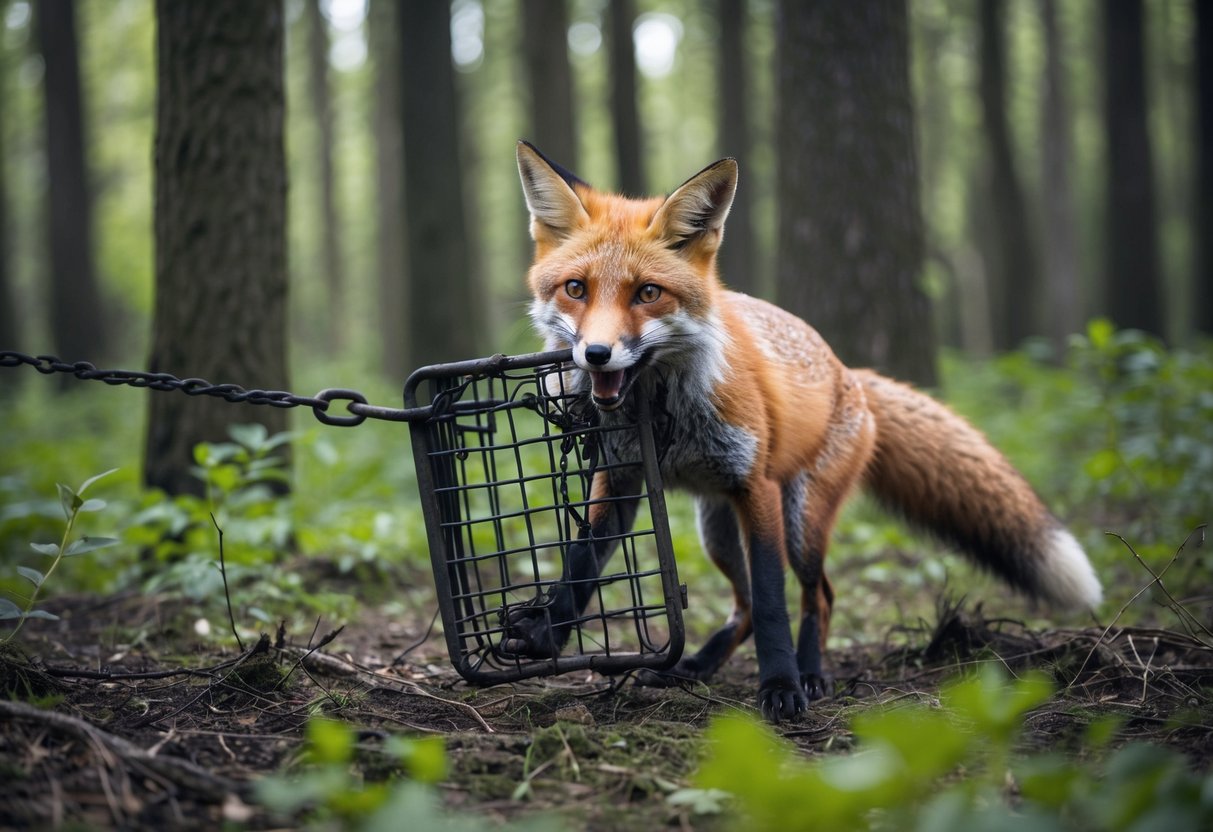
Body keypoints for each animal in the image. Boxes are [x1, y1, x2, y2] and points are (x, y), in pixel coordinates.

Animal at [504, 140, 1102, 722]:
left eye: (648, 294)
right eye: (576, 289)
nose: (597, 355)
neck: (663, 415)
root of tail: (850, 372)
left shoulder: (758, 489)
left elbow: (774, 602)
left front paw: (781, 688)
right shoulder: (620, 480)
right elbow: (581, 564)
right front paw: (545, 635)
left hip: (800, 521)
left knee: (819, 596)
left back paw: (810, 673)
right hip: (716, 530)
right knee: (743, 606)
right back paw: (693, 667)